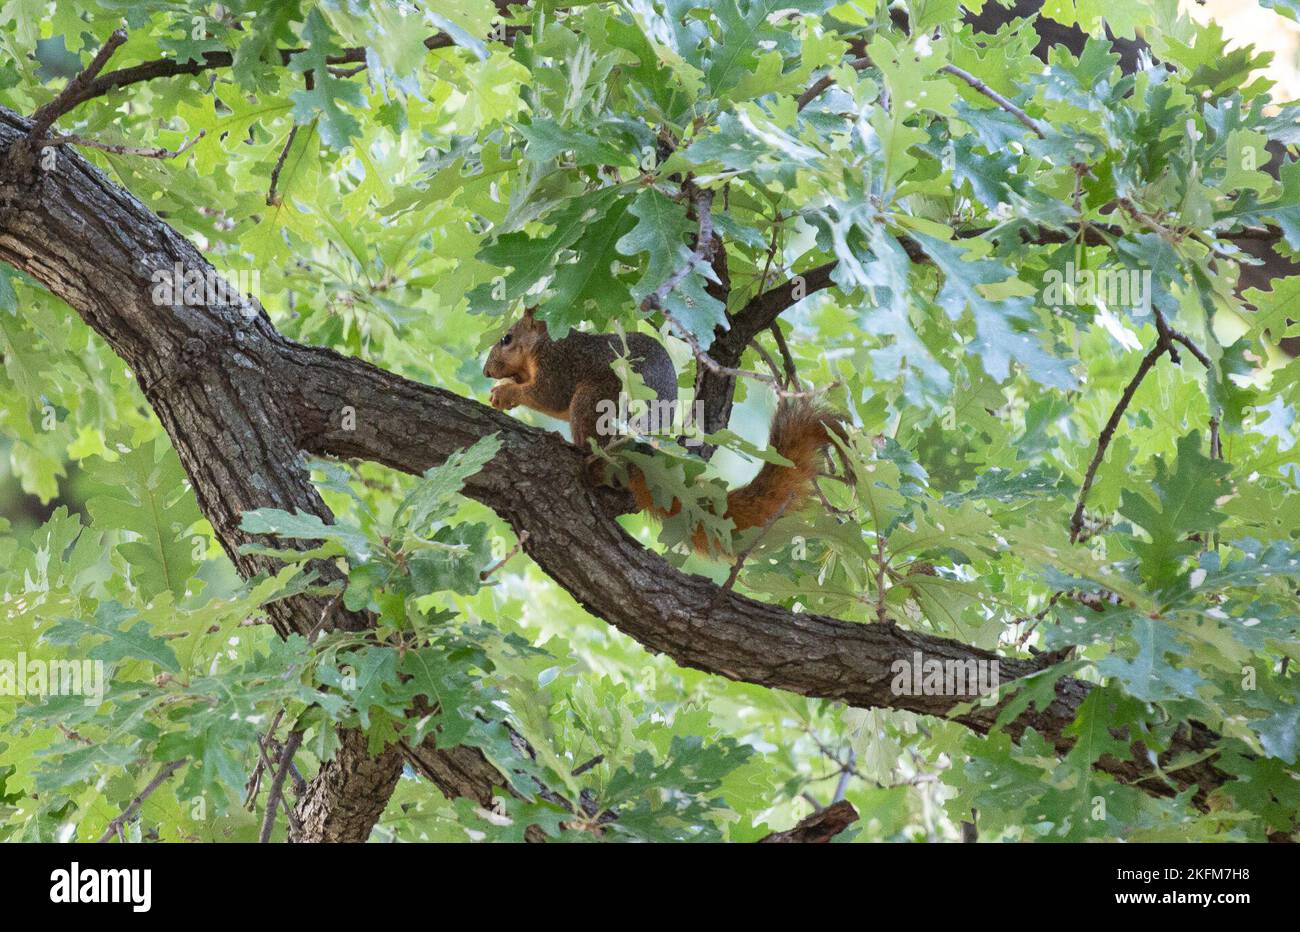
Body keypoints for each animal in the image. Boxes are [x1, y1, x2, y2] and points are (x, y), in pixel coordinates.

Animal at [483, 307, 842, 555]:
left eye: (506, 339)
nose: (486, 371)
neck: (545, 344)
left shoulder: (561, 366)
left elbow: (548, 396)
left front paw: (507, 392)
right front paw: (506, 385)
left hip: (595, 401)